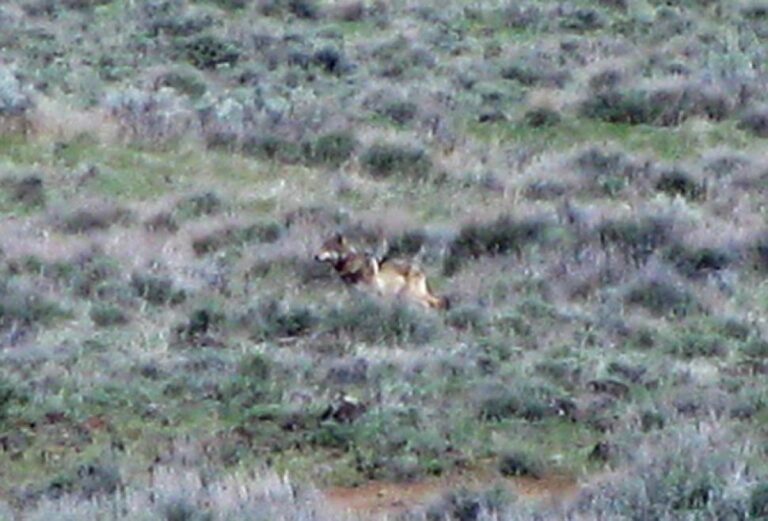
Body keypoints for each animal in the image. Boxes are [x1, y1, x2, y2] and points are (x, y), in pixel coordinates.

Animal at [314, 233, 447, 310]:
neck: (352, 265)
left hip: (410, 295)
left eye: (327, 247)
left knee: (433, 303)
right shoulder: (355, 294)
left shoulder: (373, 293)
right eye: (322, 246)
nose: (315, 256)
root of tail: (420, 269)